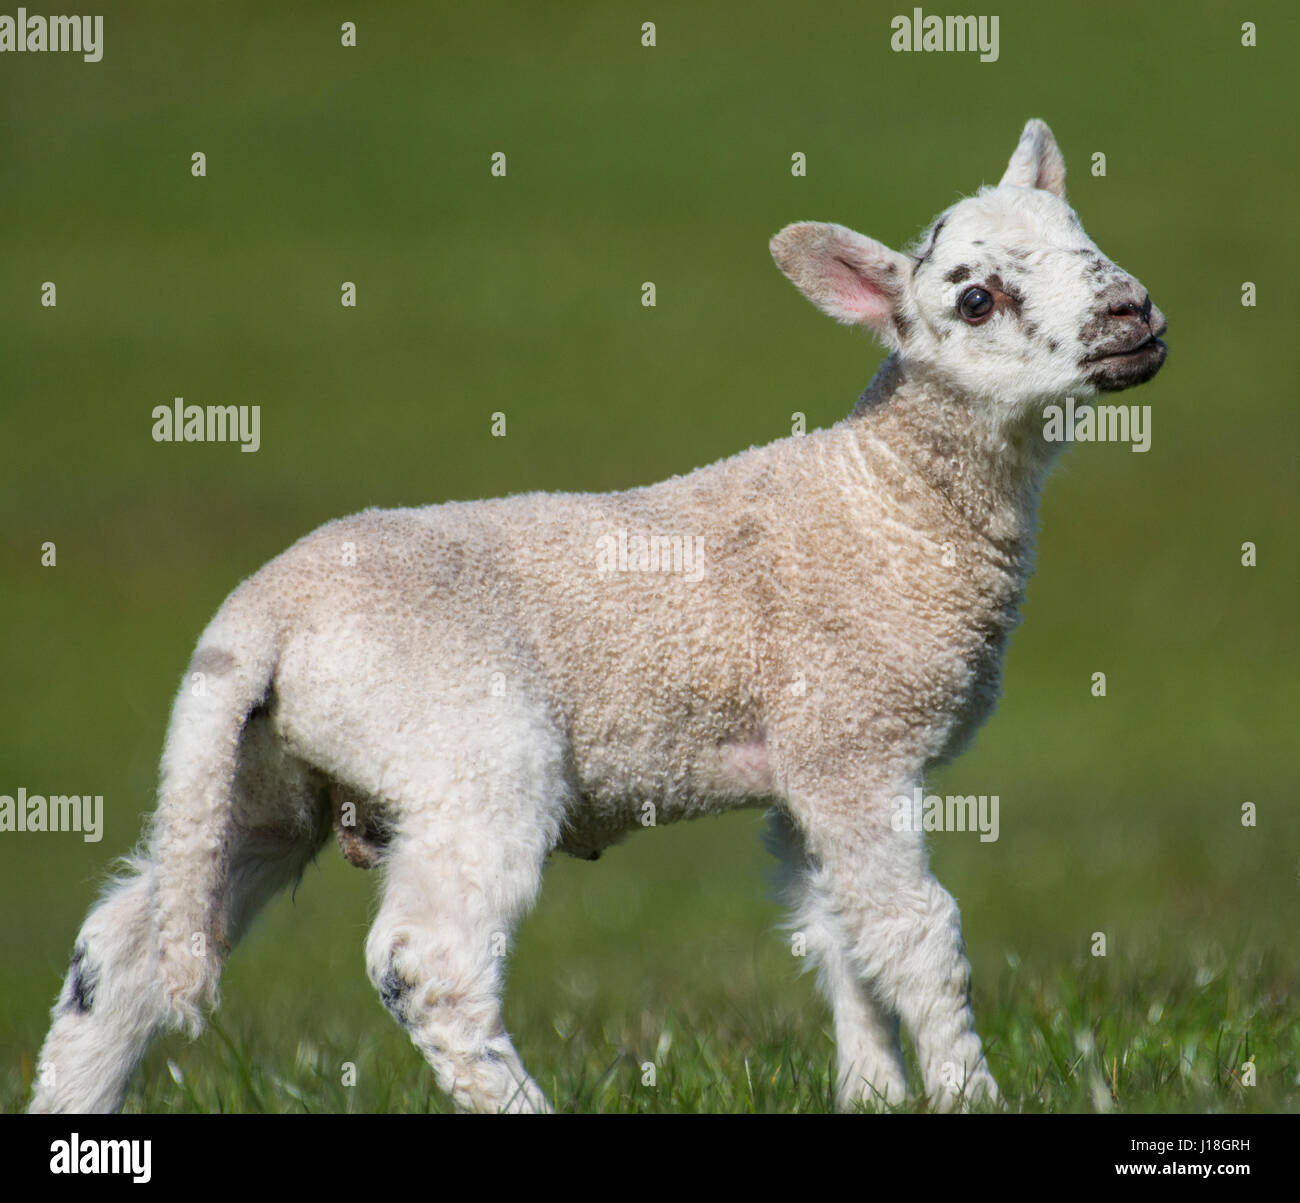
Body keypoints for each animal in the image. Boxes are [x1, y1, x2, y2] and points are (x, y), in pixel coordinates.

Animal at [29, 118, 1167, 1115]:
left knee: (120, 955)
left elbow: (834, 938)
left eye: (1085, 238)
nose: (1133, 316)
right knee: (426, 965)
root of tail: (260, 614)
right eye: (976, 299)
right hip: (471, 751)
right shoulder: (855, 741)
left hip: (257, 778)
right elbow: (914, 935)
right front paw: (968, 1093)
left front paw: (872, 1093)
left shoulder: (803, 763)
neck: (890, 496)